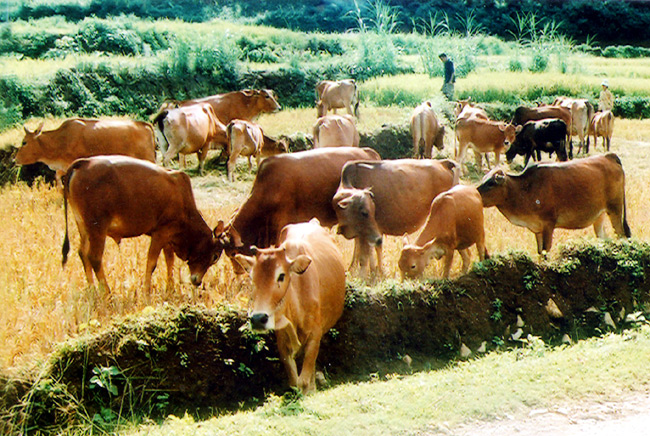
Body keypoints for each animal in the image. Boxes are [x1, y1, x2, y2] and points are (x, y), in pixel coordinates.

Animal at [16, 118, 156, 184]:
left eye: (24, 142)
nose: (15, 159)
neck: (61, 139)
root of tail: (145, 124)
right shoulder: (64, 166)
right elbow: (58, 177)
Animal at [61, 156, 223, 297]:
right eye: (214, 256)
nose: (197, 281)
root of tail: (84, 162)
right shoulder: (160, 233)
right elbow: (151, 263)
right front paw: (147, 291)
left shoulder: (168, 237)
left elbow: (169, 260)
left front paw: (170, 288)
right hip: (97, 228)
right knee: (94, 257)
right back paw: (107, 292)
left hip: (83, 226)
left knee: (82, 253)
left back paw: (92, 290)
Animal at [234, 218, 345, 394]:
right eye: (252, 277)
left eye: (281, 275)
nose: (258, 319)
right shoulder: (282, 340)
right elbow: (294, 381)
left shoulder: (315, 334)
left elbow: (304, 380)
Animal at [477, 153, 631, 254]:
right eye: (483, 179)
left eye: (491, 183)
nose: (475, 193)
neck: (524, 189)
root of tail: (608, 156)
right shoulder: (537, 228)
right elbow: (540, 252)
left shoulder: (548, 224)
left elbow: (546, 251)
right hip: (599, 215)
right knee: (604, 238)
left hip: (615, 210)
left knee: (621, 235)